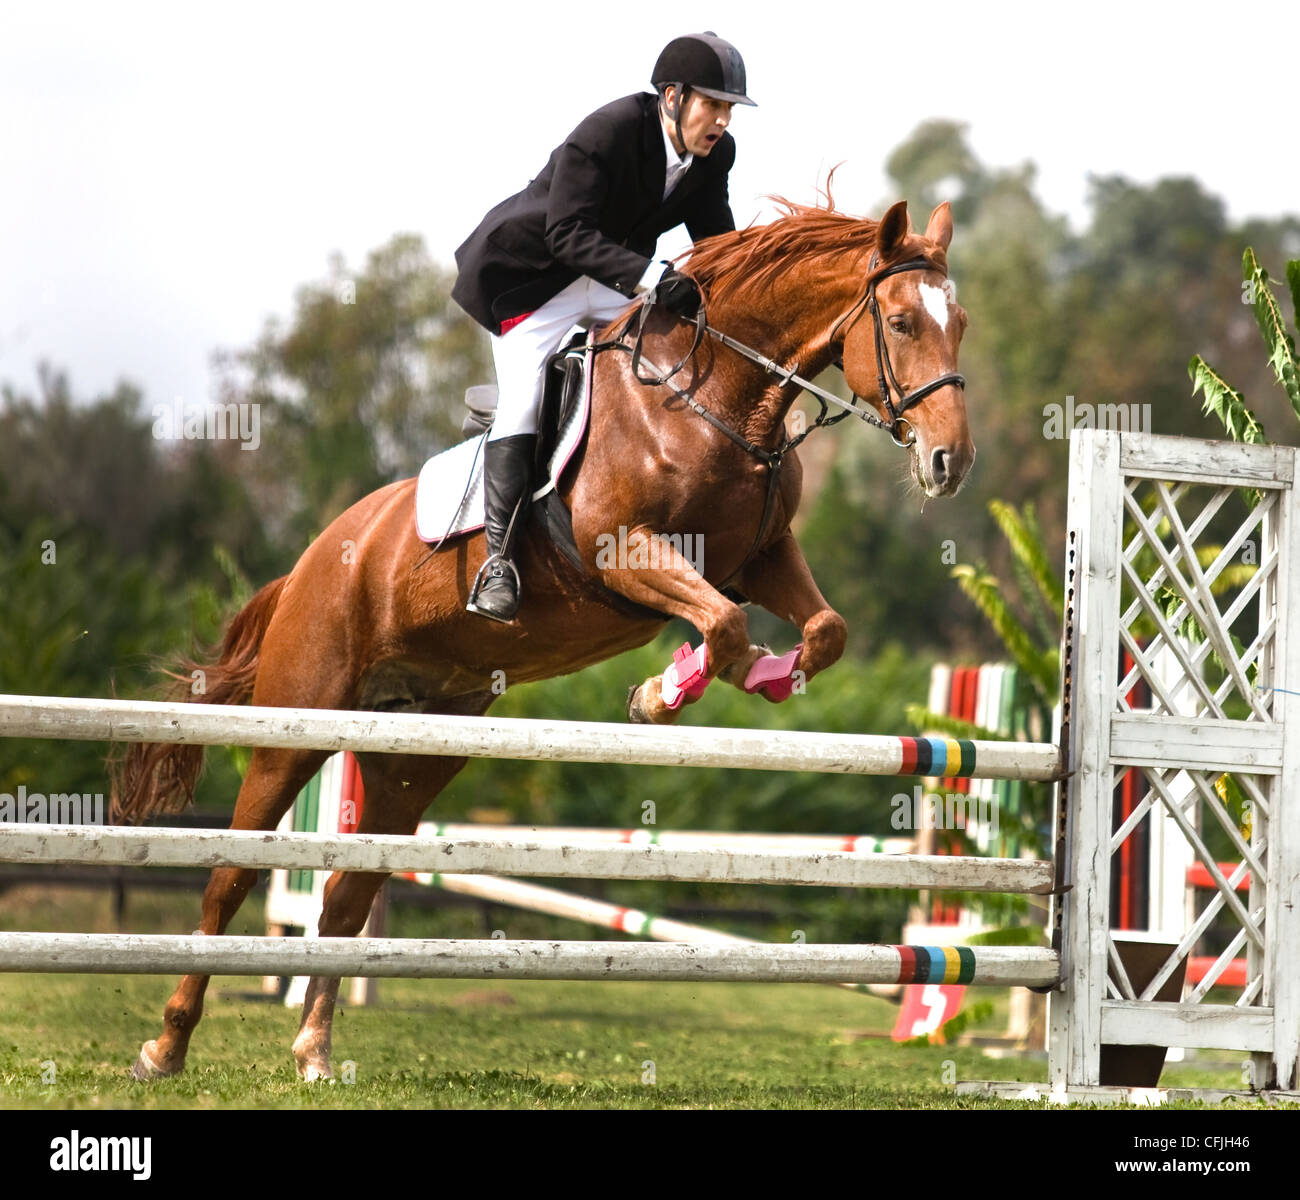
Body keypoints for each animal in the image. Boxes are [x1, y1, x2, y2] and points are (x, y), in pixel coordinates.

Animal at [114, 196, 972, 1081]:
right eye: (902, 322)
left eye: (963, 324)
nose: (951, 461)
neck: (716, 401)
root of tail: (313, 558)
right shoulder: (624, 551)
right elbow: (726, 624)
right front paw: (662, 693)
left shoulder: (761, 557)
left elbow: (822, 630)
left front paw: (757, 676)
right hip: (299, 718)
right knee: (230, 872)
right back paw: (165, 1046)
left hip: (412, 751)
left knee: (347, 893)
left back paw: (314, 1054)